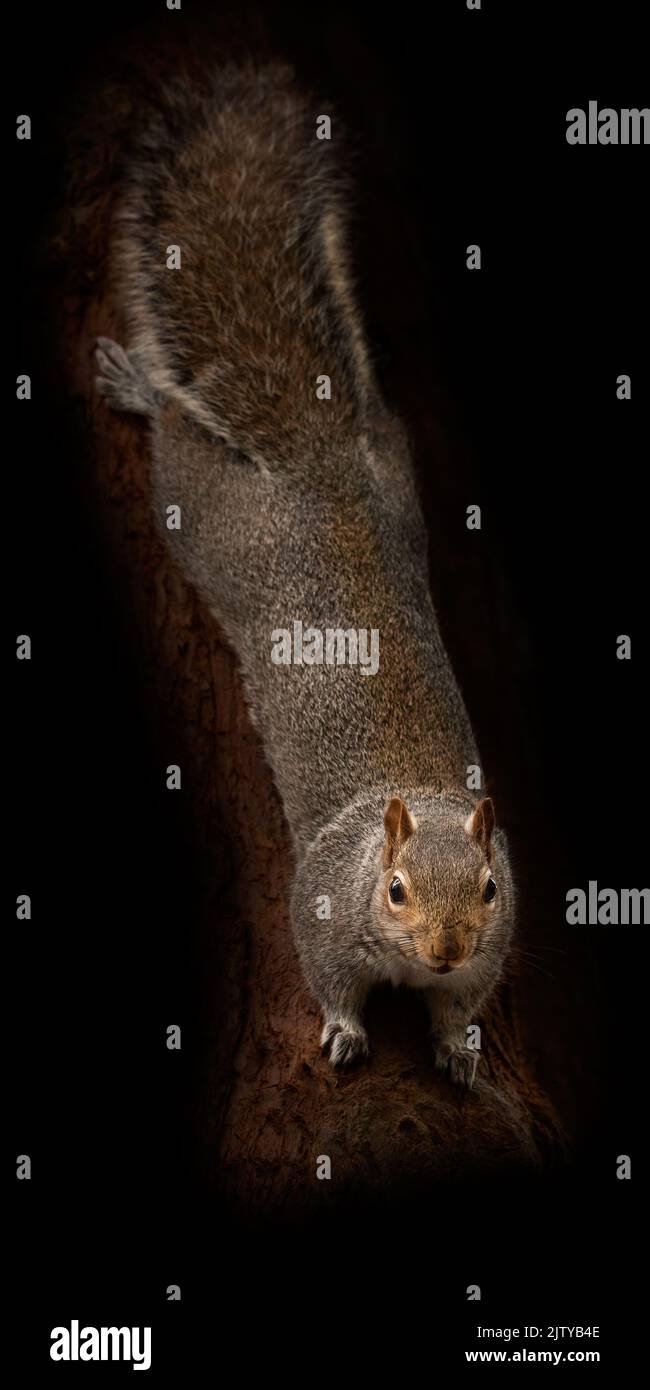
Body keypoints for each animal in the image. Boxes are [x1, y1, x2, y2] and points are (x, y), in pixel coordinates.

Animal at [95, 61, 515, 1086]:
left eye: (489, 888)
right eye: (395, 890)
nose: (443, 949)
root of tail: (316, 456)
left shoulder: (492, 949)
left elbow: (466, 1003)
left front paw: (457, 1044)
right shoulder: (320, 911)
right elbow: (323, 974)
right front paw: (347, 1029)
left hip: (393, 464)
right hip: (205, 514)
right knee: (177, 434)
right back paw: (139, 386)